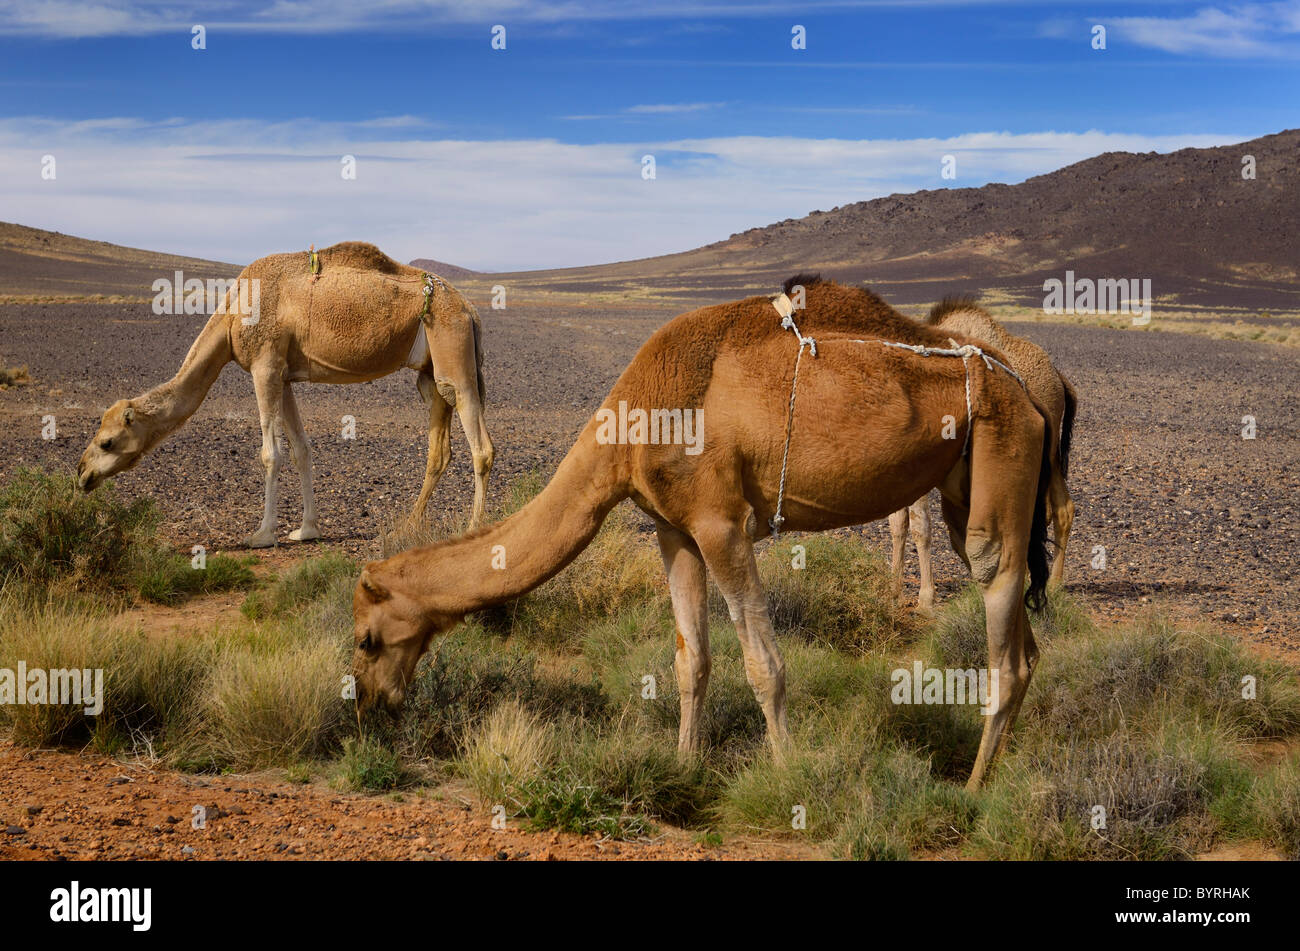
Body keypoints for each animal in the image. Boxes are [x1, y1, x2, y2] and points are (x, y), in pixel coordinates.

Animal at [77, 242, 494, 547]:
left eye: (107, 441)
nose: (82, 475)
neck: (232, 316)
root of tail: (470, 309)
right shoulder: (286, 376)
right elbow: (301, 449)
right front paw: (306, 530)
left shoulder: (264, 367)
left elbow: (270, 453)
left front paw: (261, 534)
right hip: (429, 374)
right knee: (439, 449)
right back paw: (407, 526)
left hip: (452, 351)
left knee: (481, 446)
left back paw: (473, 528)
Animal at [351, 276, 1054, 789]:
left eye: (365, 640)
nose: (365, 705)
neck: (630, 428)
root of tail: (1034, 393)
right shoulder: (675, 529)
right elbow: (692, 660)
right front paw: (685, 765)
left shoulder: (722, 524)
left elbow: (764, 665)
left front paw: (789, 776)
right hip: (965, 484)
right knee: (1025, 641)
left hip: (1002, 454)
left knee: (999, 606)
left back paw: (973, 790)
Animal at [890, 297, 1077, 611]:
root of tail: (1060, 380)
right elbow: (899, 525)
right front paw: (892, 590)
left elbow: (920, 527)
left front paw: (926, 598)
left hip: (1047, 451)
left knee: (1060, 509)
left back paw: (1053, 584)